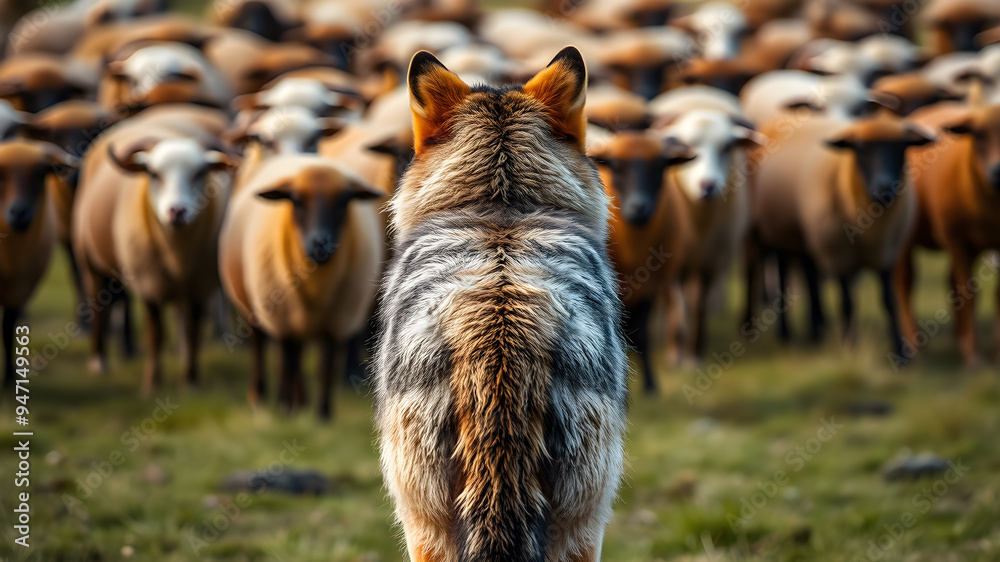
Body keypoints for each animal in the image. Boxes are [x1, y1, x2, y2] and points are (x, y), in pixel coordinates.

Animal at [72, 105, 236, 393]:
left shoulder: (200, 284)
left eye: (199, 173)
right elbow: (155, 335)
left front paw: (191, 381)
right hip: (89, 259)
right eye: (154, 173)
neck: (177, 251)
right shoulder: (149, 284)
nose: (177, 211)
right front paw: (152, 384)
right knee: (99, 308)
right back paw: (98, 362)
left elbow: (194, 330)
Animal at [218, 155, 384, 417]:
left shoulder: (336, 320)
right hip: (255, 304)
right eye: (296, 201)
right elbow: (289, 361)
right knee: (260, 346)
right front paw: (286, 409)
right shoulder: (282, 318)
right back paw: (261, 395)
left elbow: (325, 365)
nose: (320, 243)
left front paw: (323, 414)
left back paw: (301, 400)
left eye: (344, 201)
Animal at [748, 111, 935, 355]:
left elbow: (889, 301)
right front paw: (850, 346)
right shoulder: (838, 254)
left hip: (804, 237)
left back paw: (816, 331)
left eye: (902, 147)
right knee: (782, 272)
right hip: (778, 231)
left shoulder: (887, 253)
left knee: (810, 275)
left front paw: (900, 352)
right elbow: (847, 302)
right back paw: (786, 334)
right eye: (861, 148)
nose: (884, 188)